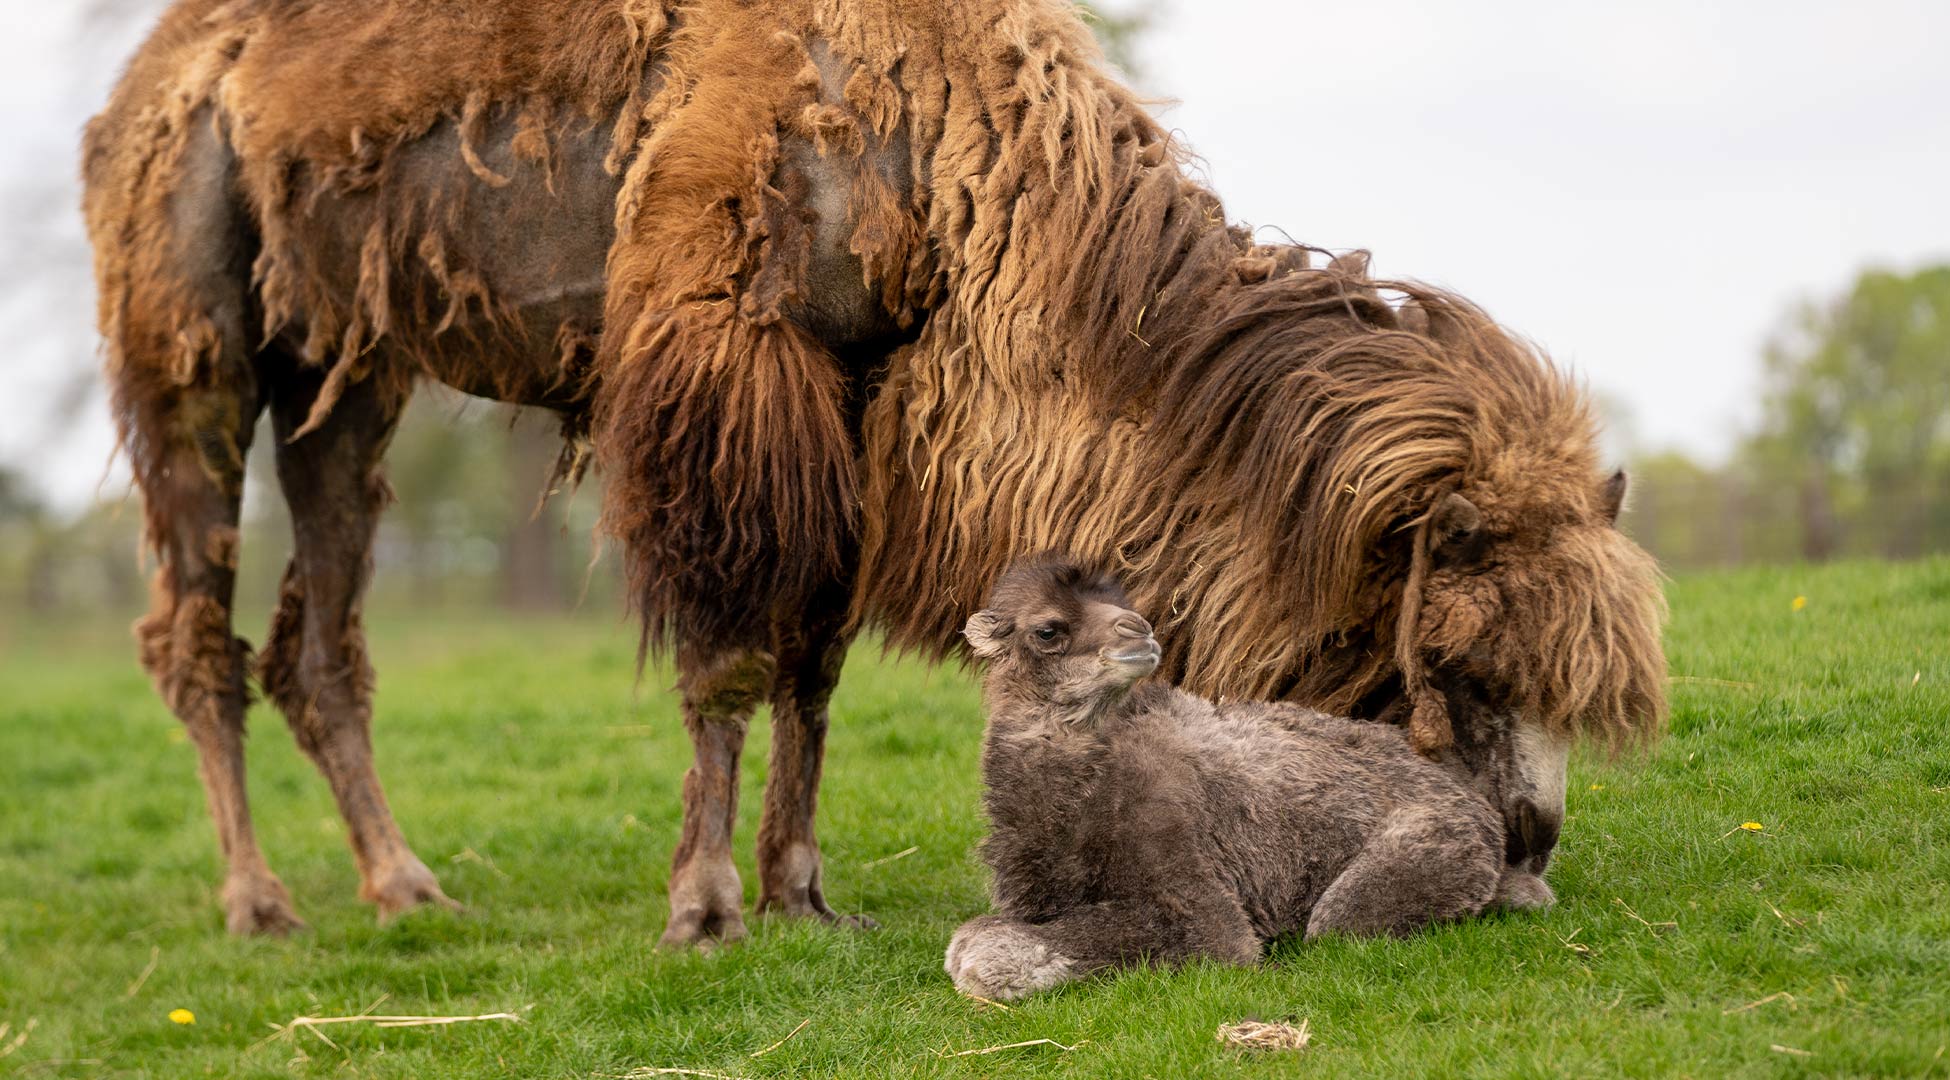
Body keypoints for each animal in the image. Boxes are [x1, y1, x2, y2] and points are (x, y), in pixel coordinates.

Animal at [84, 0, 1664, 944]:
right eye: (1456, 663)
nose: (1527, 837)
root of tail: (155, 68)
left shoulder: (855, 393)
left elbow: (815, 663)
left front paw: (803, 892)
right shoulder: (723, 362)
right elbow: (728, 657)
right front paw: (706, 906)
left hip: (346, 370)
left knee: (320, 636)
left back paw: (407, 886)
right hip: (189, 331)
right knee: (189, 626)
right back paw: (260, 904)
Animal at [947, 558, 1555, 1000]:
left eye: (1123, 604)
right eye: (1048, 630)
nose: (1138, 632)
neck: (1080, 806)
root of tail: (1477, 806)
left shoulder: (1196, 895)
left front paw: (985, 959)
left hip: (1428, 850)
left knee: (1336, 923)